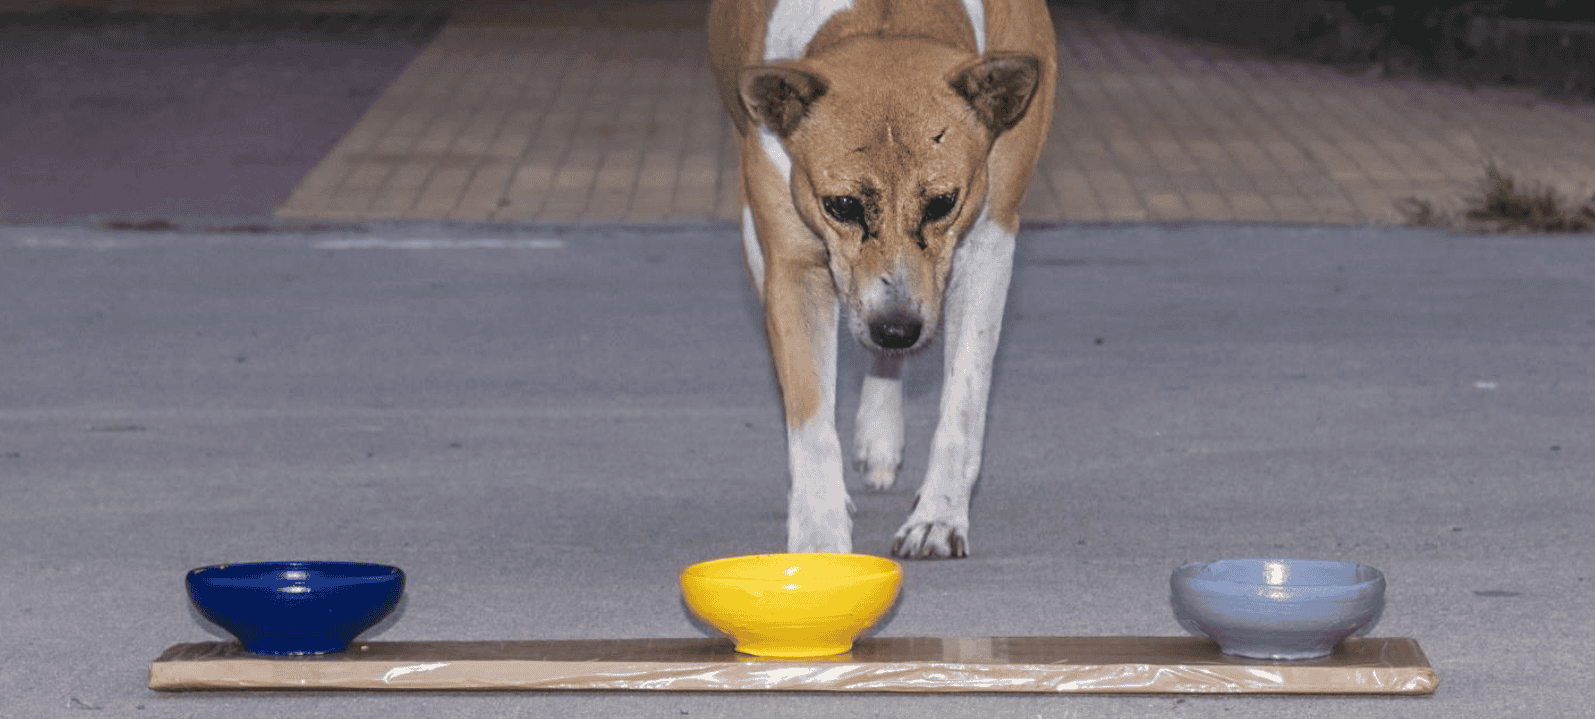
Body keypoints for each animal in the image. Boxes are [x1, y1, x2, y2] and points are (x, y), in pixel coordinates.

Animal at [711, 0, 1059, 557]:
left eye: (942, 202)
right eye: (842, 205)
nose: (897, 330)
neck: (886, 16)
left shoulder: (990, 238)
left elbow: (964, 397)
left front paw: (939, 514)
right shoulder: (792, 260)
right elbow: (809, 409)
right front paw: (820, 534)